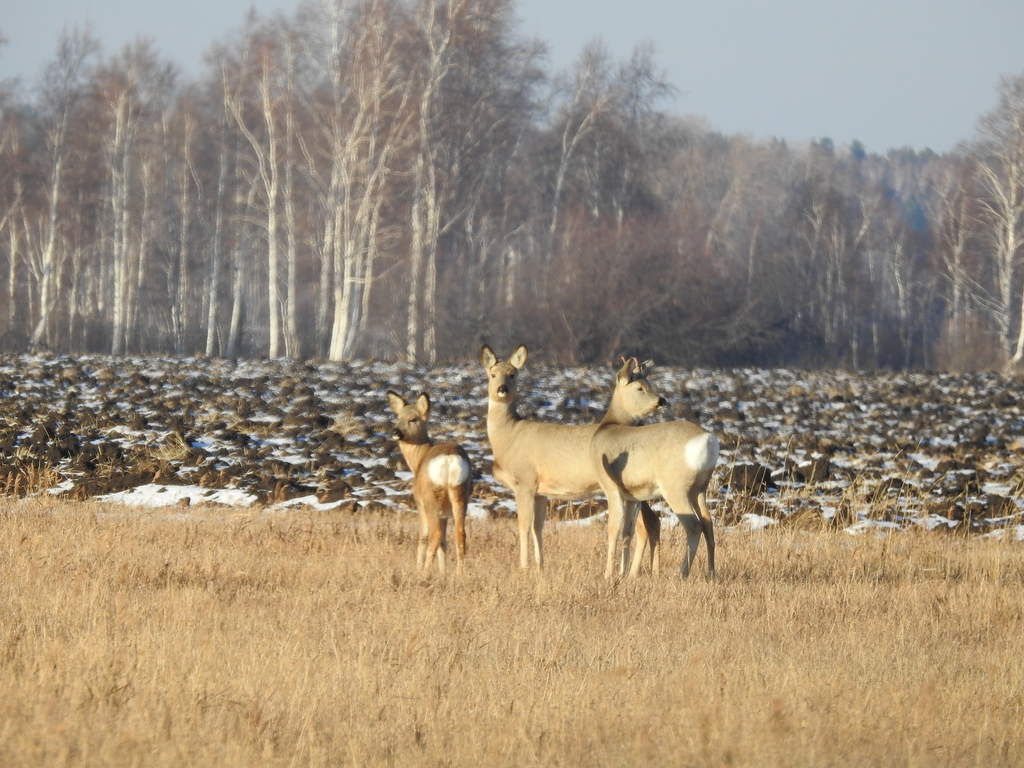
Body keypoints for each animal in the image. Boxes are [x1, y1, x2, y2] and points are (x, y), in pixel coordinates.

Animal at [387, 391, 473, 576]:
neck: (419, 459)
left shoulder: (419, 504)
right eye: (398, 417)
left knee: (434, 535)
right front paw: (443, 572)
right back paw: (459, 573)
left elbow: (423, 537)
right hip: (460, 493)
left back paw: (425, 573)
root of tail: (449, 458)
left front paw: (419, 568)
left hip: (431, 498)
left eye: (413, 419)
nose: (396, 431)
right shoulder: (445, 514)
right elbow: (444, 544)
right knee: (460, 533)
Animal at [479, 344, 666, 570]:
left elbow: (523, 525)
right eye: (493, 374)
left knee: (645, 526)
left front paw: (523, 567)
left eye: (512, 374)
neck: (509, 435)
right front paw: (539, 568)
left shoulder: (525, 481)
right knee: (651, 523)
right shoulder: (540, 490)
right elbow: (537, 527)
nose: (502, 389)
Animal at [590, 393, 720, 581]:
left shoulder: (613, 494)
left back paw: (682, 574)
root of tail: (706, 437)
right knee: (708, 525)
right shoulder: (632, 500)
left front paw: (609, 576)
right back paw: (711, 575)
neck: (611, 429)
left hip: (676, 495)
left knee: (695, 527)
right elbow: (627, 532)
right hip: (698, 493)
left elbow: (614, 529)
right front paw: (623, 574)